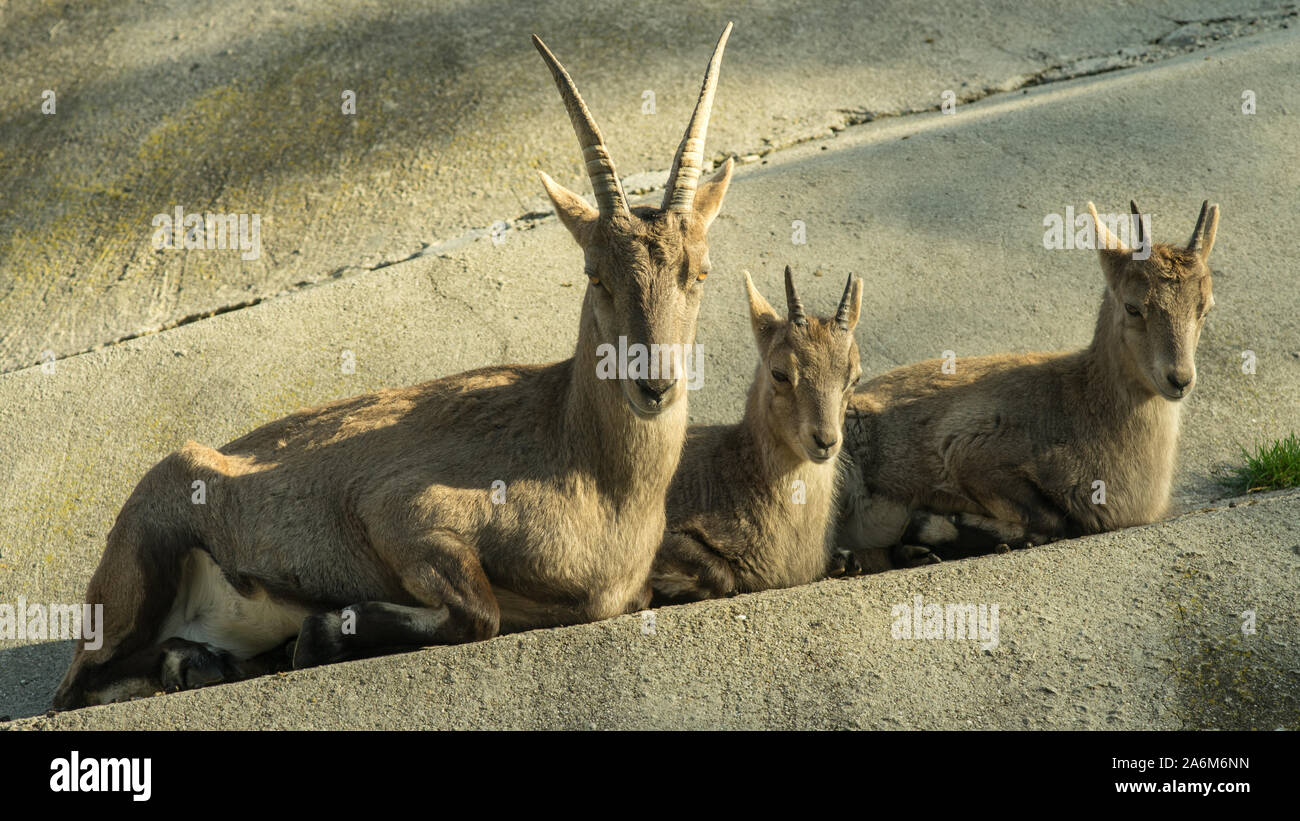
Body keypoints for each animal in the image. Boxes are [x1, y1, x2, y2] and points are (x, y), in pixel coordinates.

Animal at [52, 24, 737, 709]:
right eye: (597, 275)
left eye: (700, 271)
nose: (654, 383)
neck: (593, 474)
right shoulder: (401, 513)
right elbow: (478, 612)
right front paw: (326, 630)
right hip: (149, 546)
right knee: (79, 685)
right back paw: (202, 663)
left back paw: (214, 661)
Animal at [837, 200, 1219, 566]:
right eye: (1133, 307)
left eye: (1205, 307)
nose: (1179, 379)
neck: (1082, 403)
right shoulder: (971, 452)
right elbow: (1051, 521)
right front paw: (941, 528)